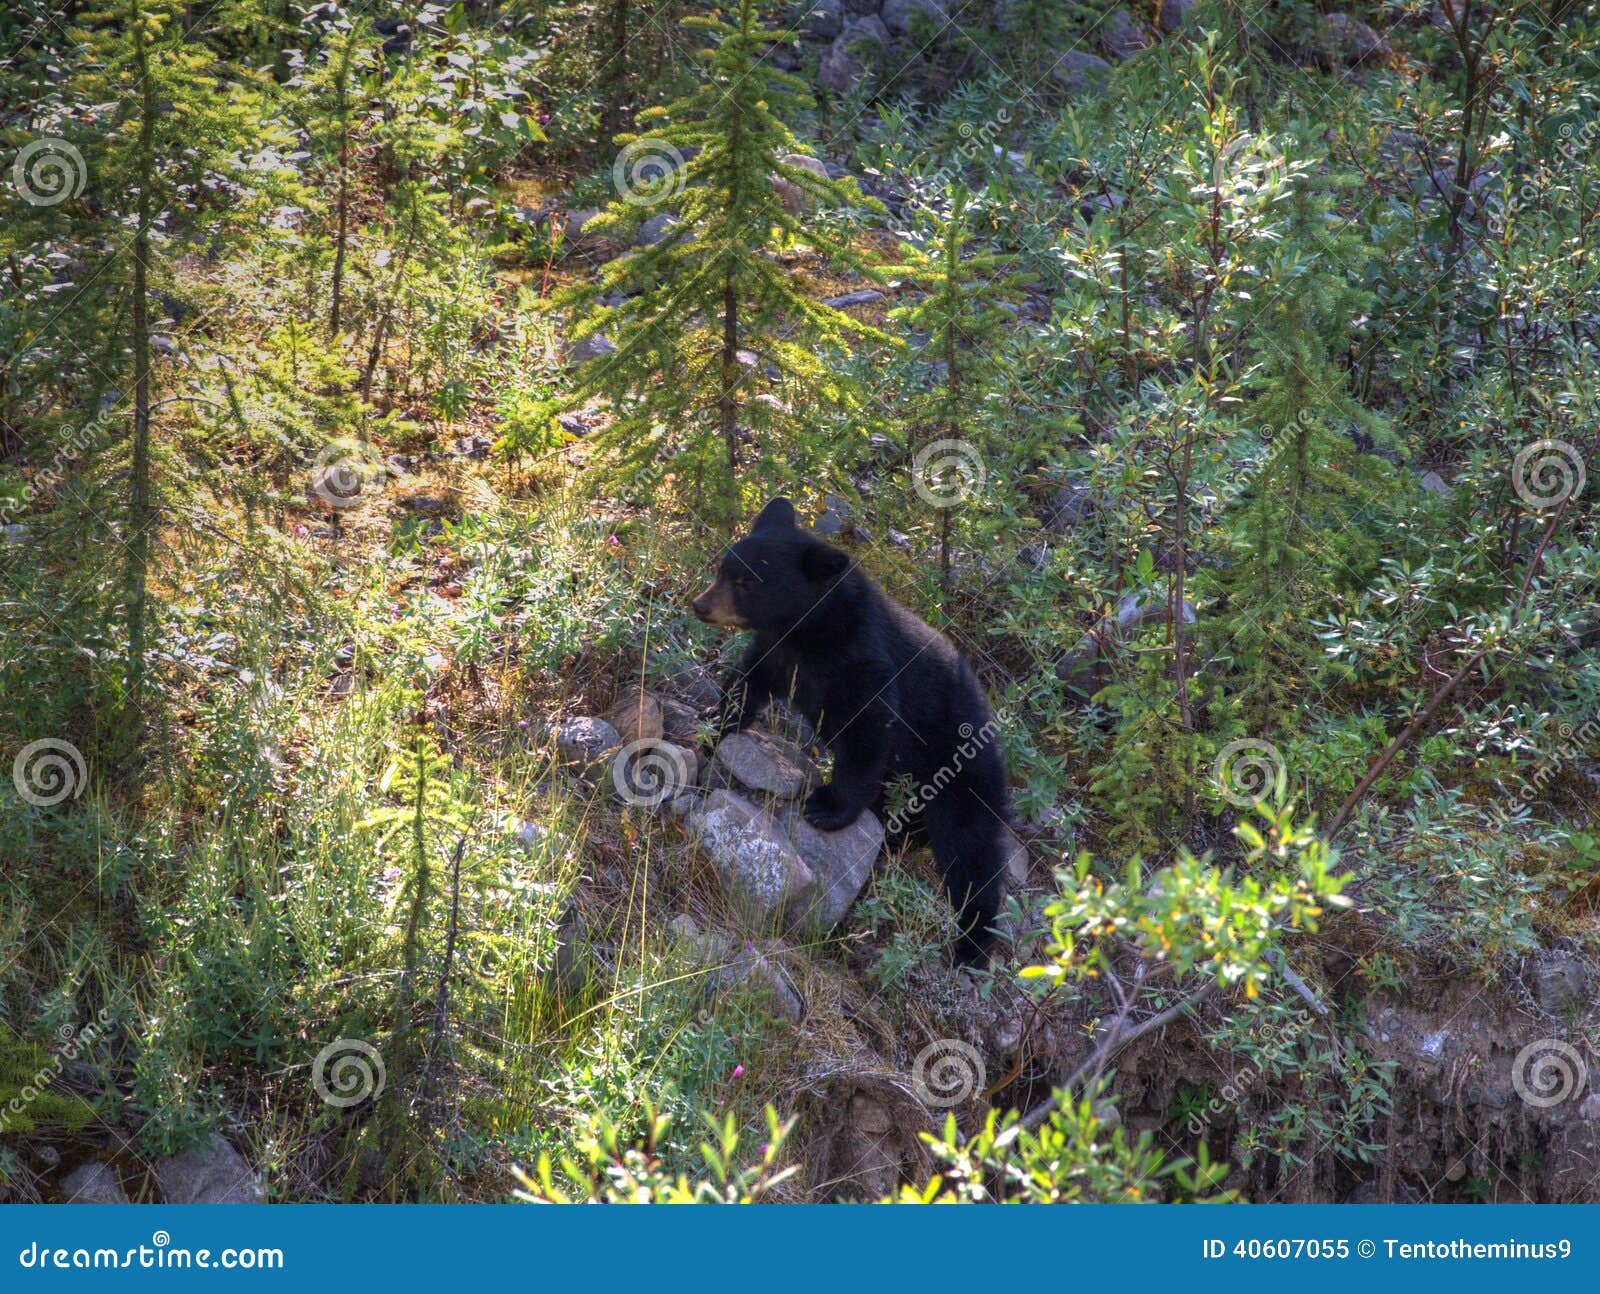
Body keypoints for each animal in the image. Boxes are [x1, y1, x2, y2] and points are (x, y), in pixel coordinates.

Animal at [691, 497, 1011, 965]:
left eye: (746, 581)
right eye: (722, 568)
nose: (701, 605)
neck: (812, 629)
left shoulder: (863, 661)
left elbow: (868, 730)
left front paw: (827, 808)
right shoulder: (778, 652)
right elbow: (747, 684)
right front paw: (713, 722)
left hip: (959, 769)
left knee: (971, 850)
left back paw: (972, 943)